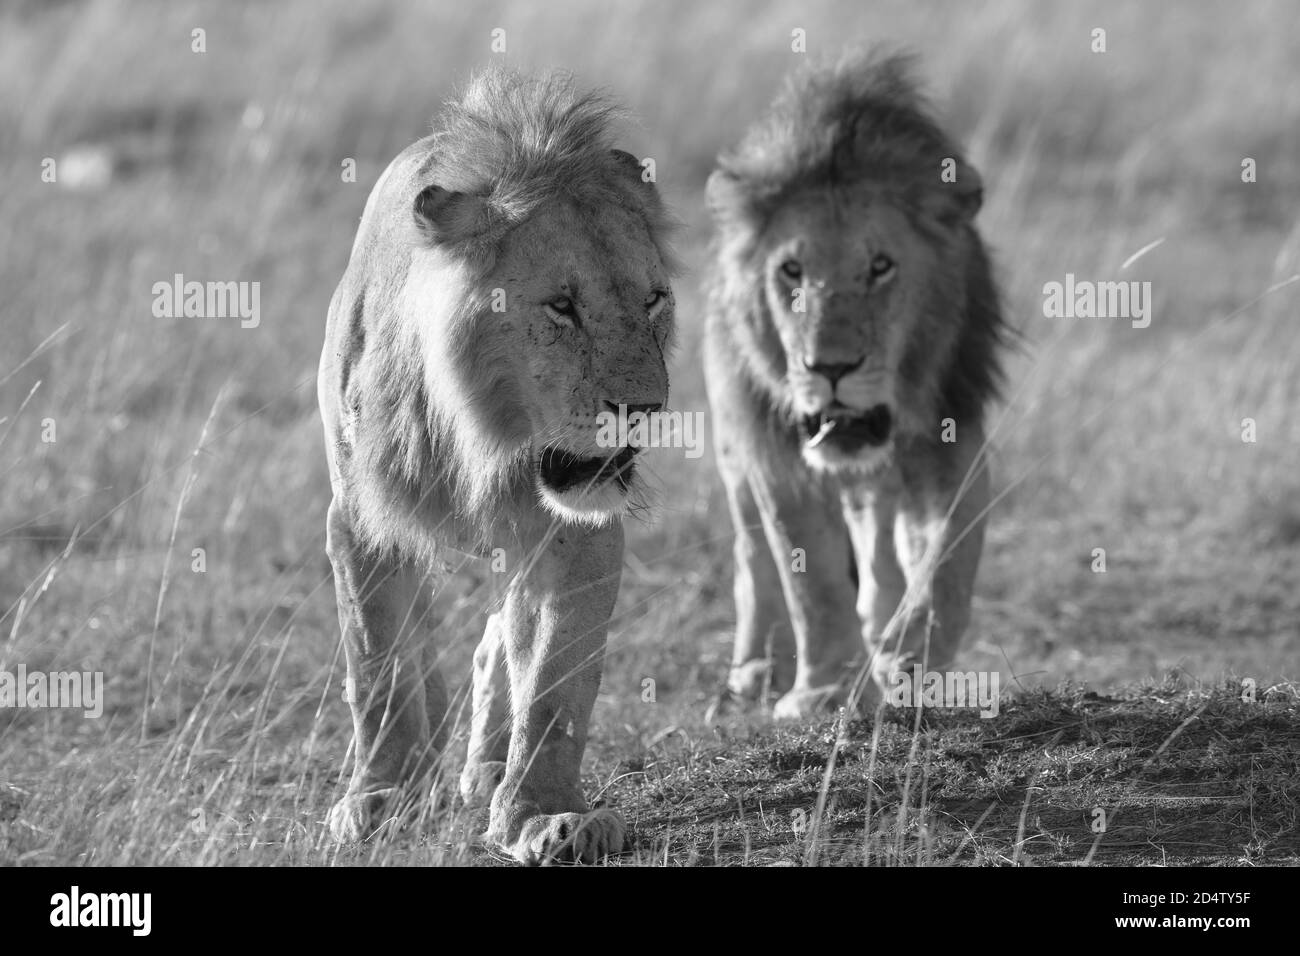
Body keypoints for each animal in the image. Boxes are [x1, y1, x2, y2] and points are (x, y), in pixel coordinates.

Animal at [317, 68, 676, 863]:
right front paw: (379, 797)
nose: (645, 408)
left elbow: (552, 680)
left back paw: (486, 770)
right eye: (562, 307)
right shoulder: (359, 519)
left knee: (497, 643)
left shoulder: (575, 529)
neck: (483, 434)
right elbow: (378, 665)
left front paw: (546, 815)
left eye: (654, 300)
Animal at [703, 51, 1007, 719]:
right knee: (750, 553)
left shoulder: (950, 426)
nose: (831, 367)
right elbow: (808, 577)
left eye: (881, 267)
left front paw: (909, 654)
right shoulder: (775, 451)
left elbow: (950, 560)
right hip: (733, 445)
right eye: (791, 270)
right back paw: (755, 670)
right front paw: (824, 693)